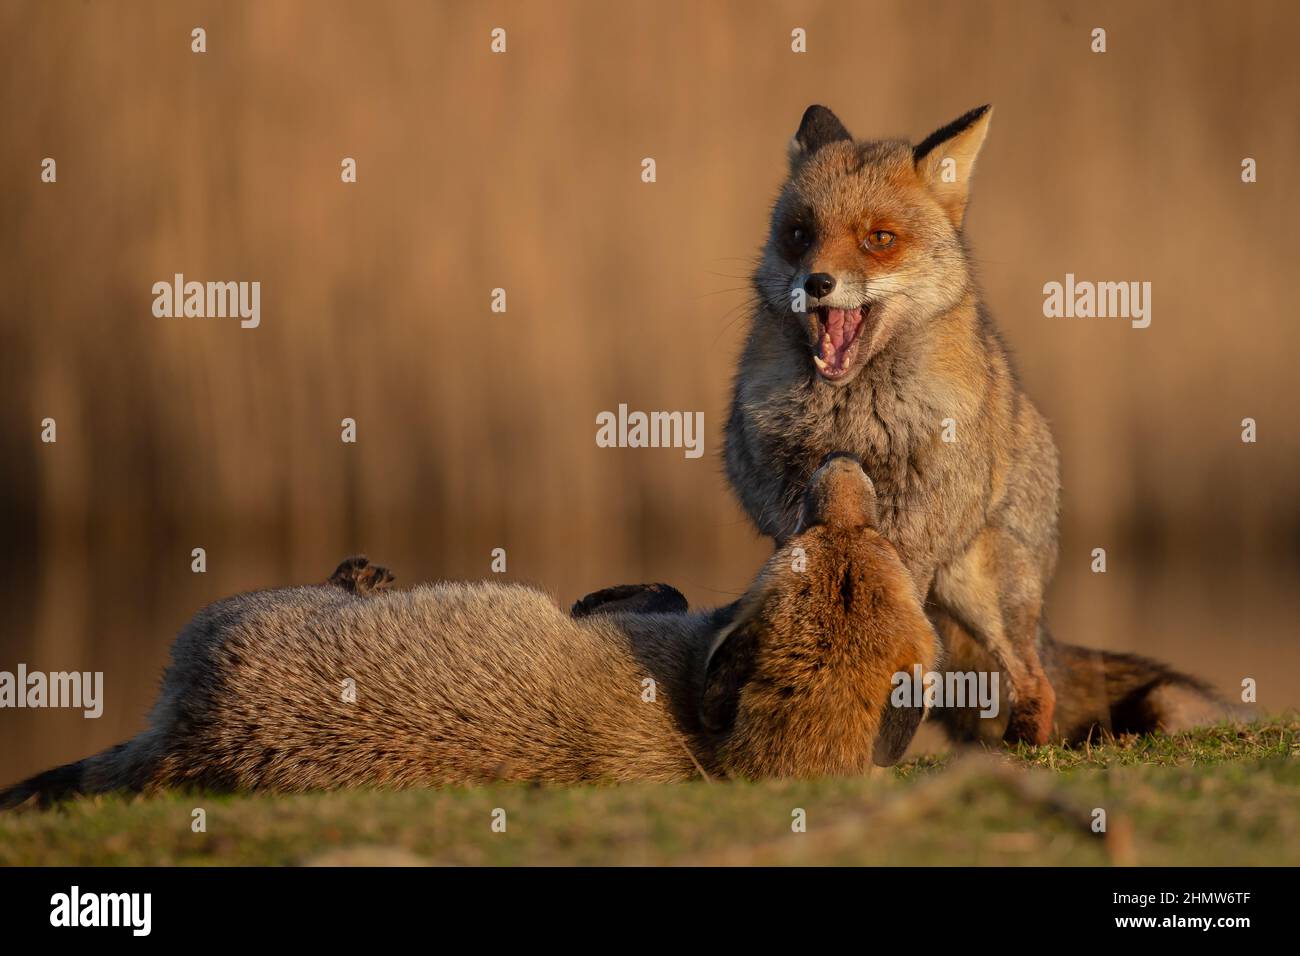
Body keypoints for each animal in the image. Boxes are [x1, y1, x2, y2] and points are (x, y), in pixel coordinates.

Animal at [1, 455, 938, 808]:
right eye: (831, 538)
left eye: (865, 539)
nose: (844, 467)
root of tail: (186, 739)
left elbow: (648, 593)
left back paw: (362, 574)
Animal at [723, 104, 1243, 745]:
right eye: (799, 235)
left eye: (879, 239)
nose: (816, 283)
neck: (852, 426)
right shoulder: (792, 530)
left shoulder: (915, 539)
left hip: (979, 585)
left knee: (1035, 679)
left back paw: (1022, 746)